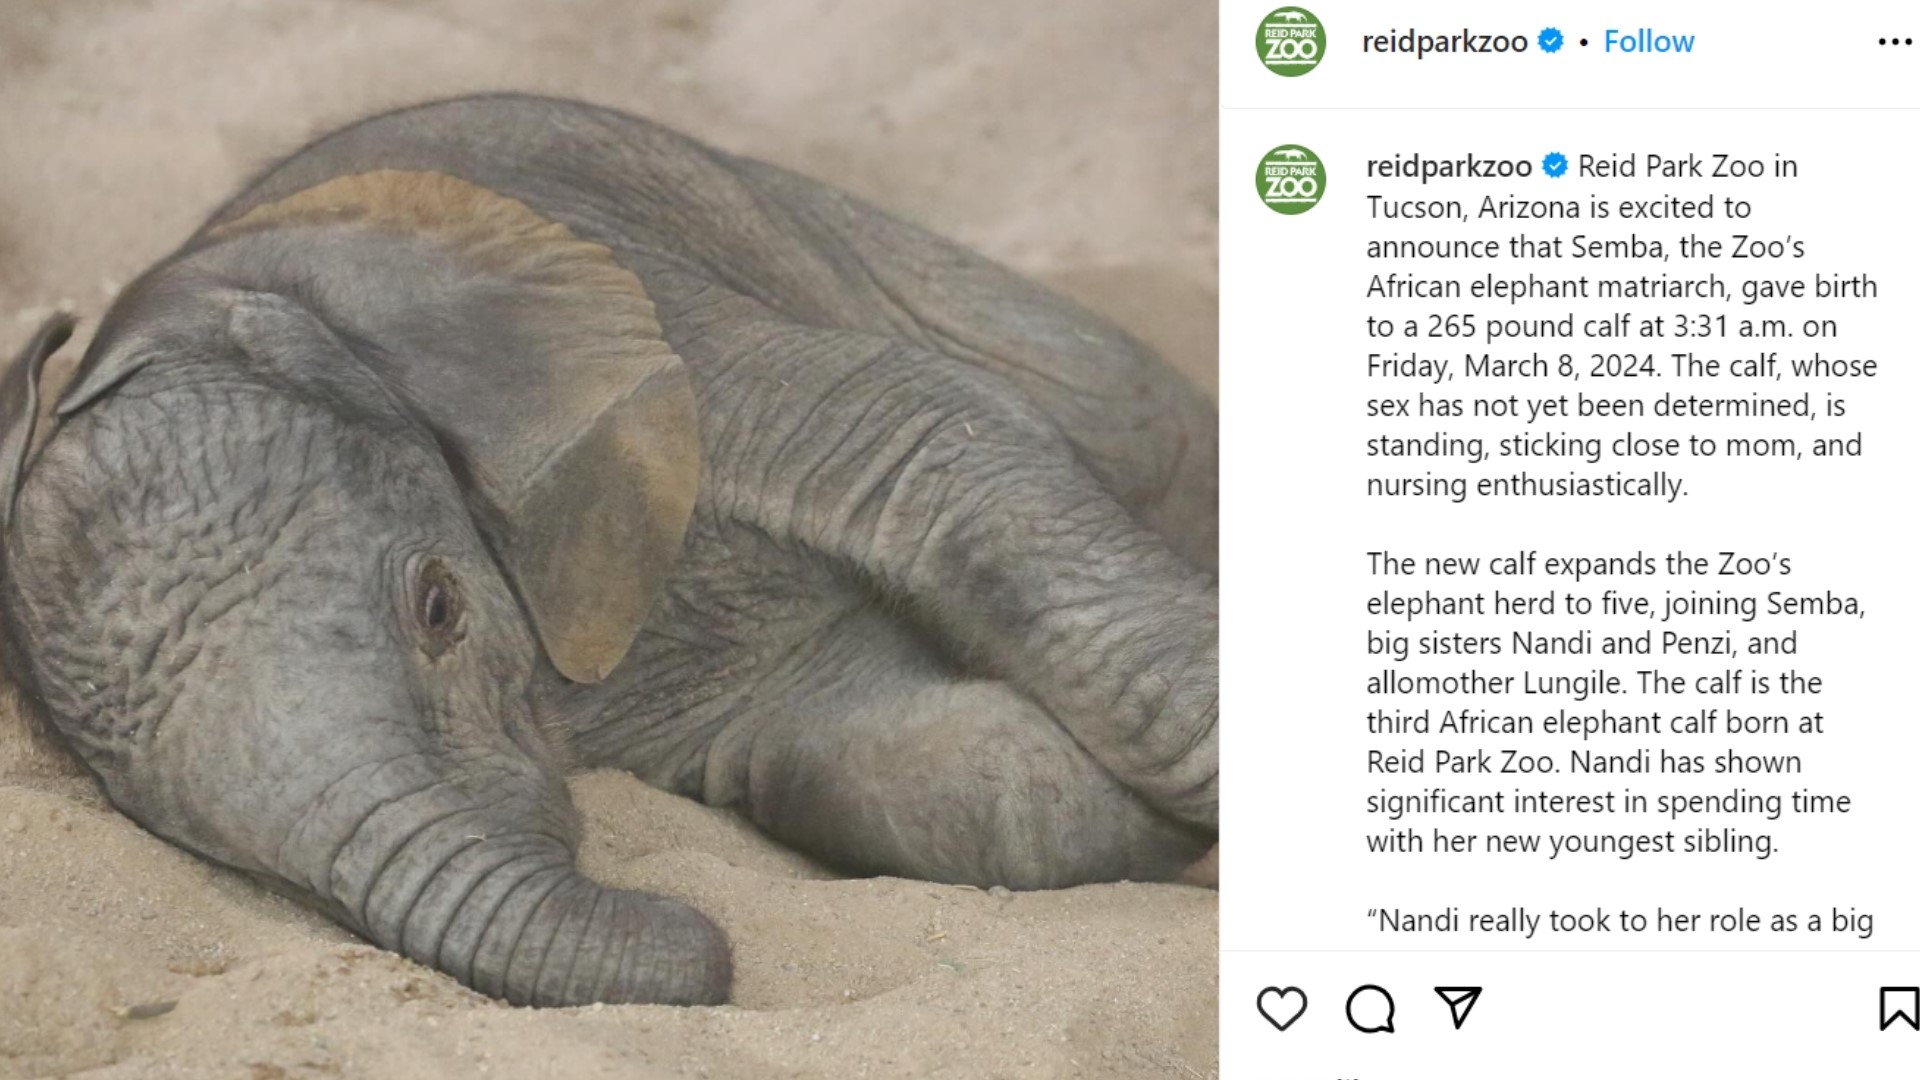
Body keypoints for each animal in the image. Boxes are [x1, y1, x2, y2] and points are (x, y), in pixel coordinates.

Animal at [0, 94, 1217, 1009]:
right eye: (162, 829)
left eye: (440, 608)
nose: (714, 940)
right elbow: (962, 786)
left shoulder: (673, 334)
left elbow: (935, 444)